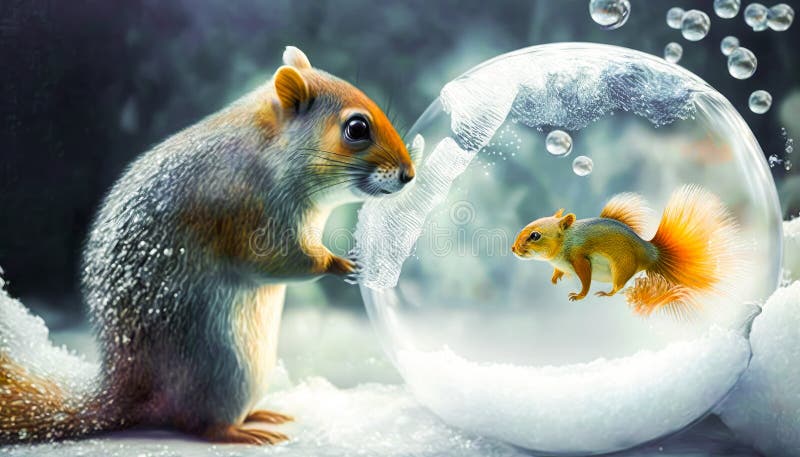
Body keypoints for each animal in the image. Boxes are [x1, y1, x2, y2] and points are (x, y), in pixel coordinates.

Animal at [0, 46, 414, 445]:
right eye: (356, 128)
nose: (409, 174)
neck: (270, 148)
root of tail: (127, 389)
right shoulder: (248, 211)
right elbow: (278, 261)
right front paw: (340, 263)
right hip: (225, 367)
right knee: (200, 424)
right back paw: (242, 432)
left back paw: (263, 414)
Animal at [511, 185, 739, 317]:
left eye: (535, 235)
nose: (513, 249)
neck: (564, 243)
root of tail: (651, 252)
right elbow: (559, 271)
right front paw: (555, 277)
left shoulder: (580, 259)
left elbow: (585, 280)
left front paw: (579, 295)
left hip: (622, 266)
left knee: (619, 286)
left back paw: (606, 293)